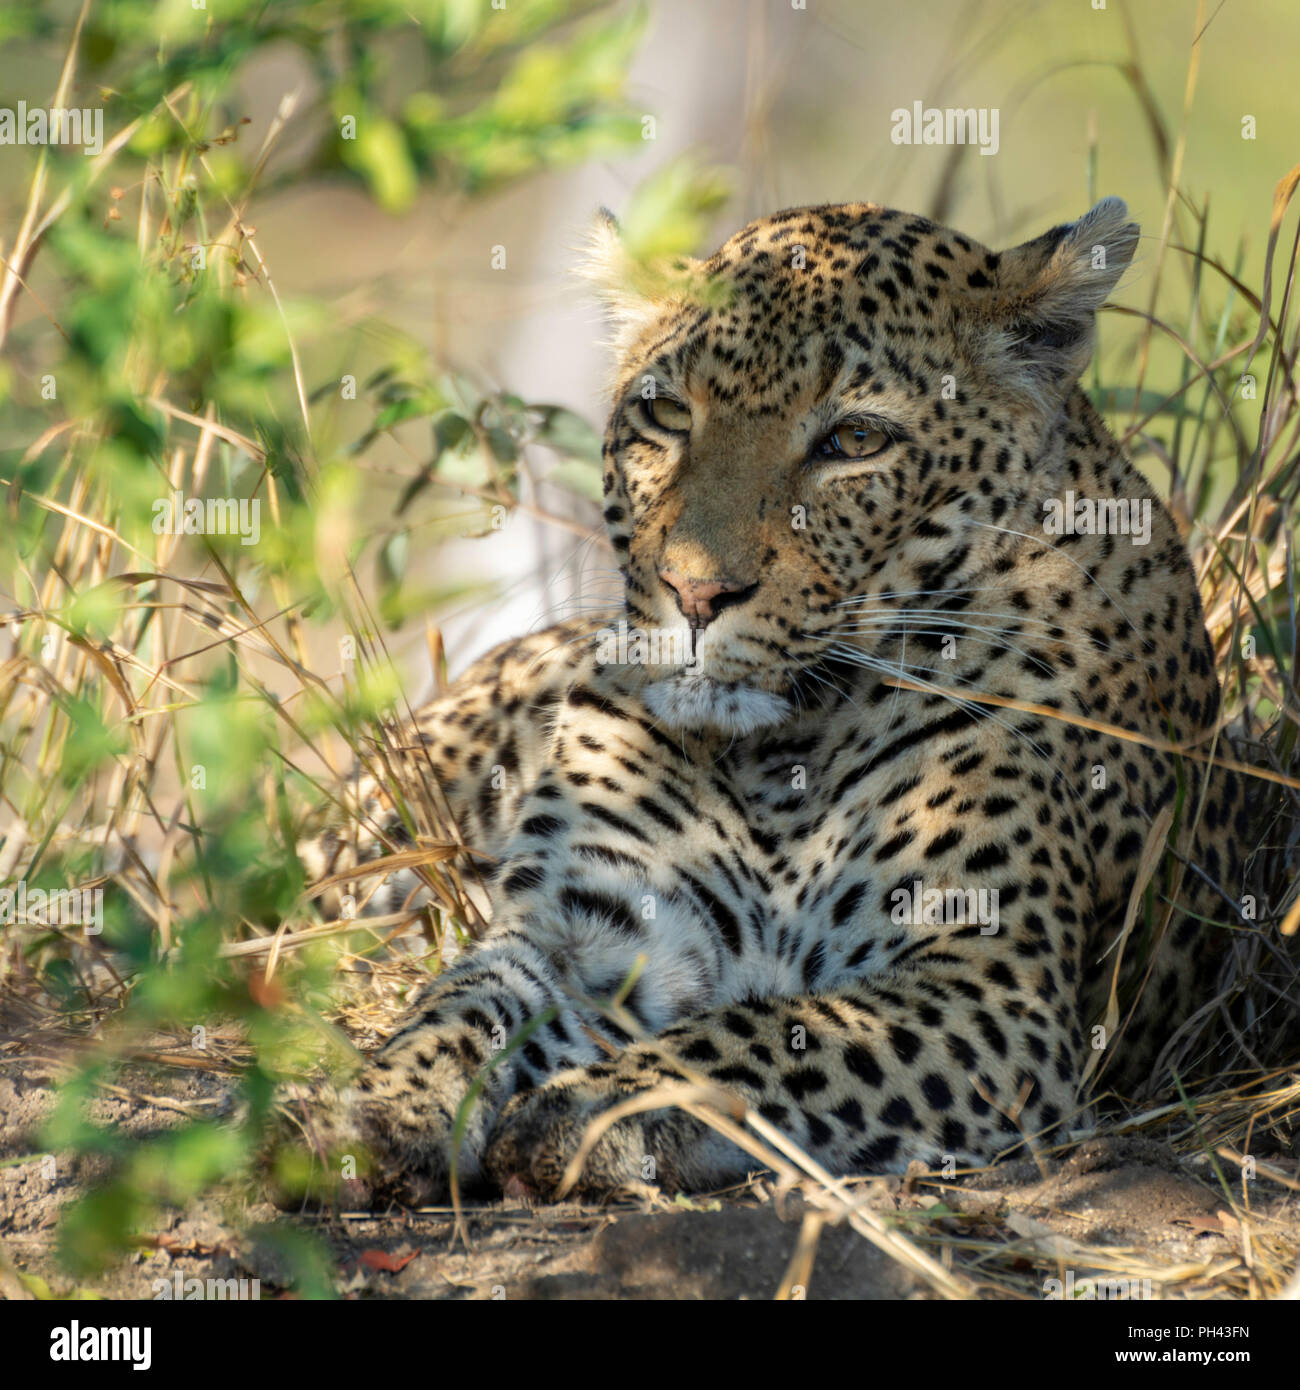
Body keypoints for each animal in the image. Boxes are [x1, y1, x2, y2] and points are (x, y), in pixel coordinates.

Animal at [286, 196, 1249, 1204]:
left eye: (856, 441)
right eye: (665, 413)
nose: (694, 592)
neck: (782, 755)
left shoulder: (989, 984)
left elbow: (772, 1038)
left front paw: (595, 1106)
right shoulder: (581, 928)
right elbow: (464, 1005)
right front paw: (373, 1107)